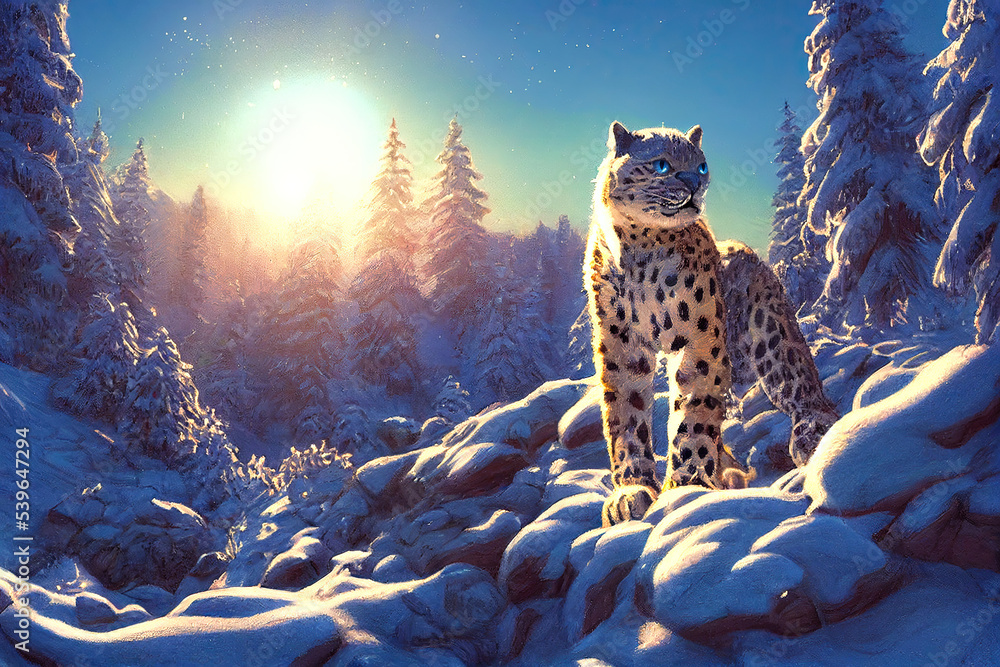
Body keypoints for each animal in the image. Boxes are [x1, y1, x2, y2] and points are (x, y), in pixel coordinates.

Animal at [587, 121, 839, 527]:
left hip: (772, 337)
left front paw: (686, 485)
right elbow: (627, 417)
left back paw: (811, 436)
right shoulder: (622, 347)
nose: (694, 185)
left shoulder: (698, 338)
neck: (638, 250)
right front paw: (631, 493)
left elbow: (693, 411)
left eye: (702, 166)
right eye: (661, 164)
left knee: (799, 380)